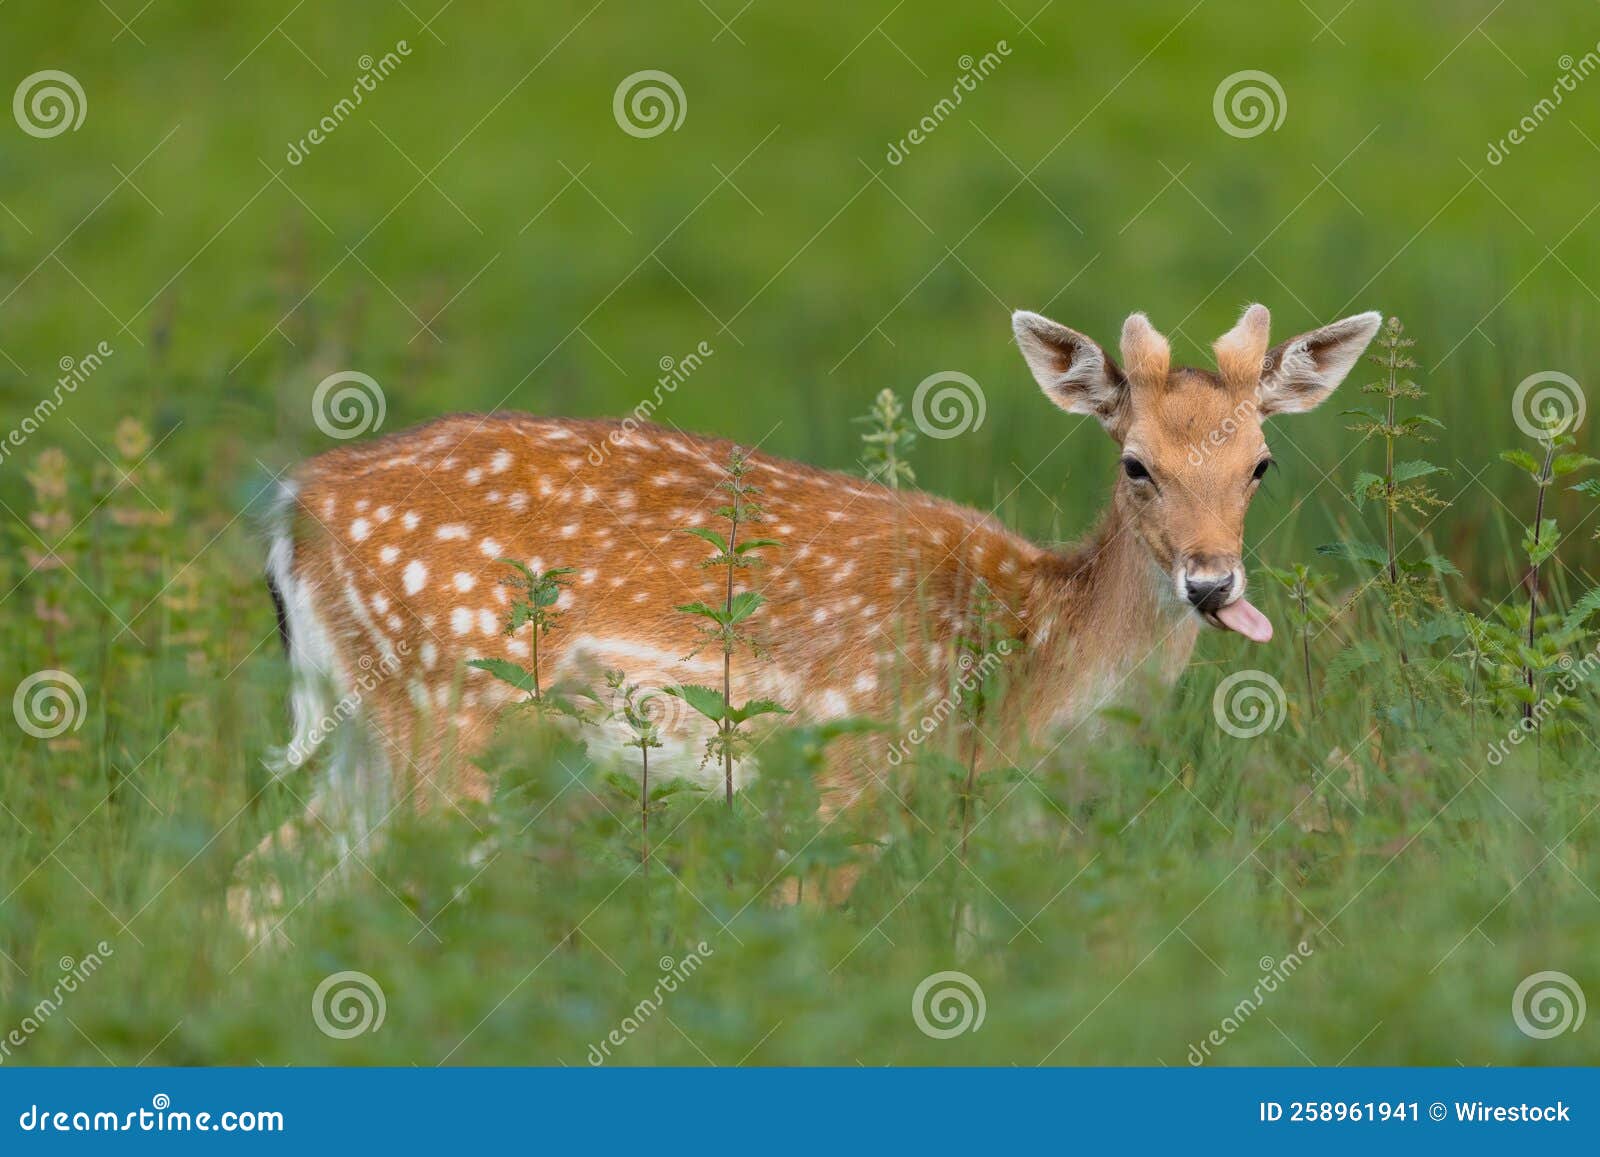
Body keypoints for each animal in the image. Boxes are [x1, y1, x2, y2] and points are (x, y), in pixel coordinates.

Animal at [230, 303, 1380, 934]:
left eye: (1261, 464)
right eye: (1135, 462)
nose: (1211, 584)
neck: (1021, 658)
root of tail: (296, 507)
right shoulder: (850, 755)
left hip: (374, 722)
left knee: (266, 881)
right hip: (450, 704)